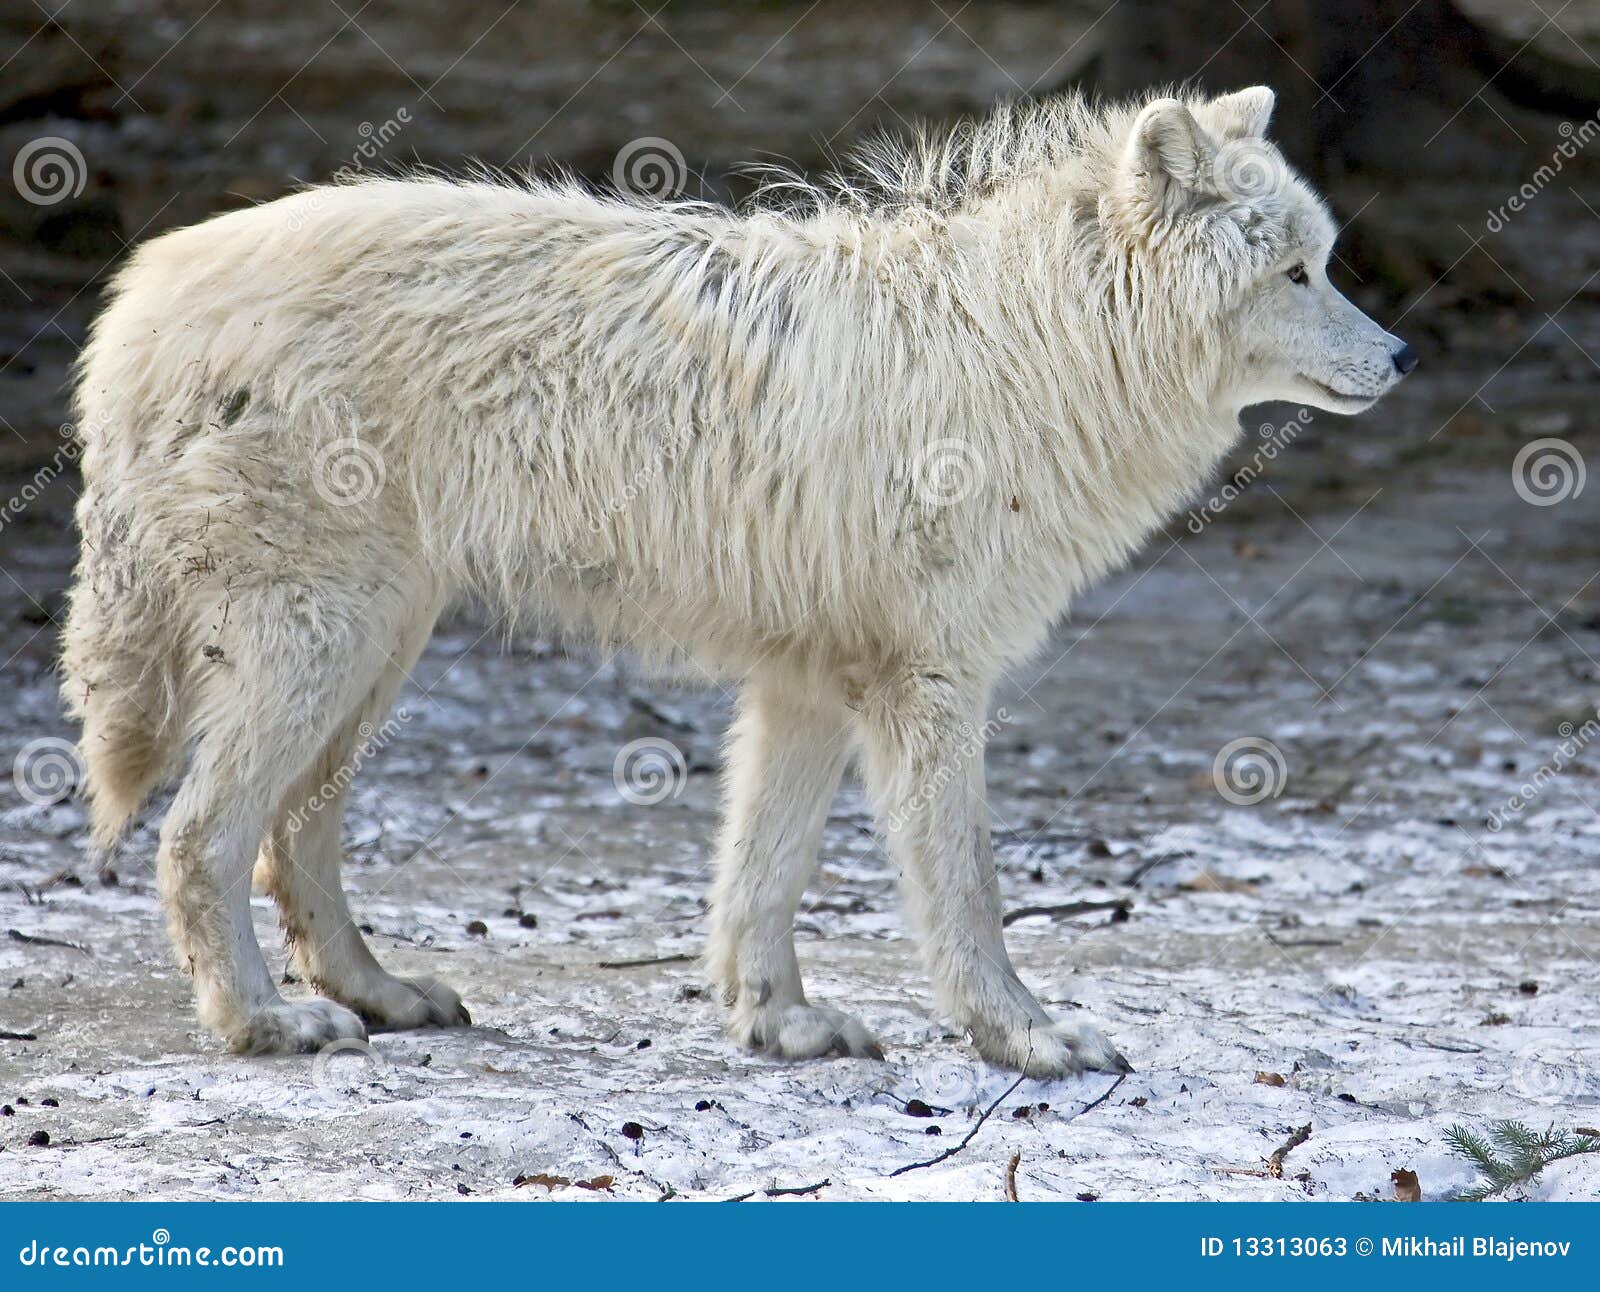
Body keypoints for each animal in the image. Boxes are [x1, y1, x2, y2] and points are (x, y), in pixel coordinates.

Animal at [61, 86, 1413, 1073]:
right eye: (1296, 275)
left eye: (1327, 261)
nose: (1402, 355)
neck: (1031, 349)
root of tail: (135, 298)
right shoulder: (930, 683)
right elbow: (968, 891)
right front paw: (1025, 1038)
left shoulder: (808, 684)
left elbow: (763, 876)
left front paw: (780, 1022)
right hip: (324, 645)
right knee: (198, 837)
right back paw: (263, 1023)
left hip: (376, 650)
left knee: (293, 835)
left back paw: (381, 992)